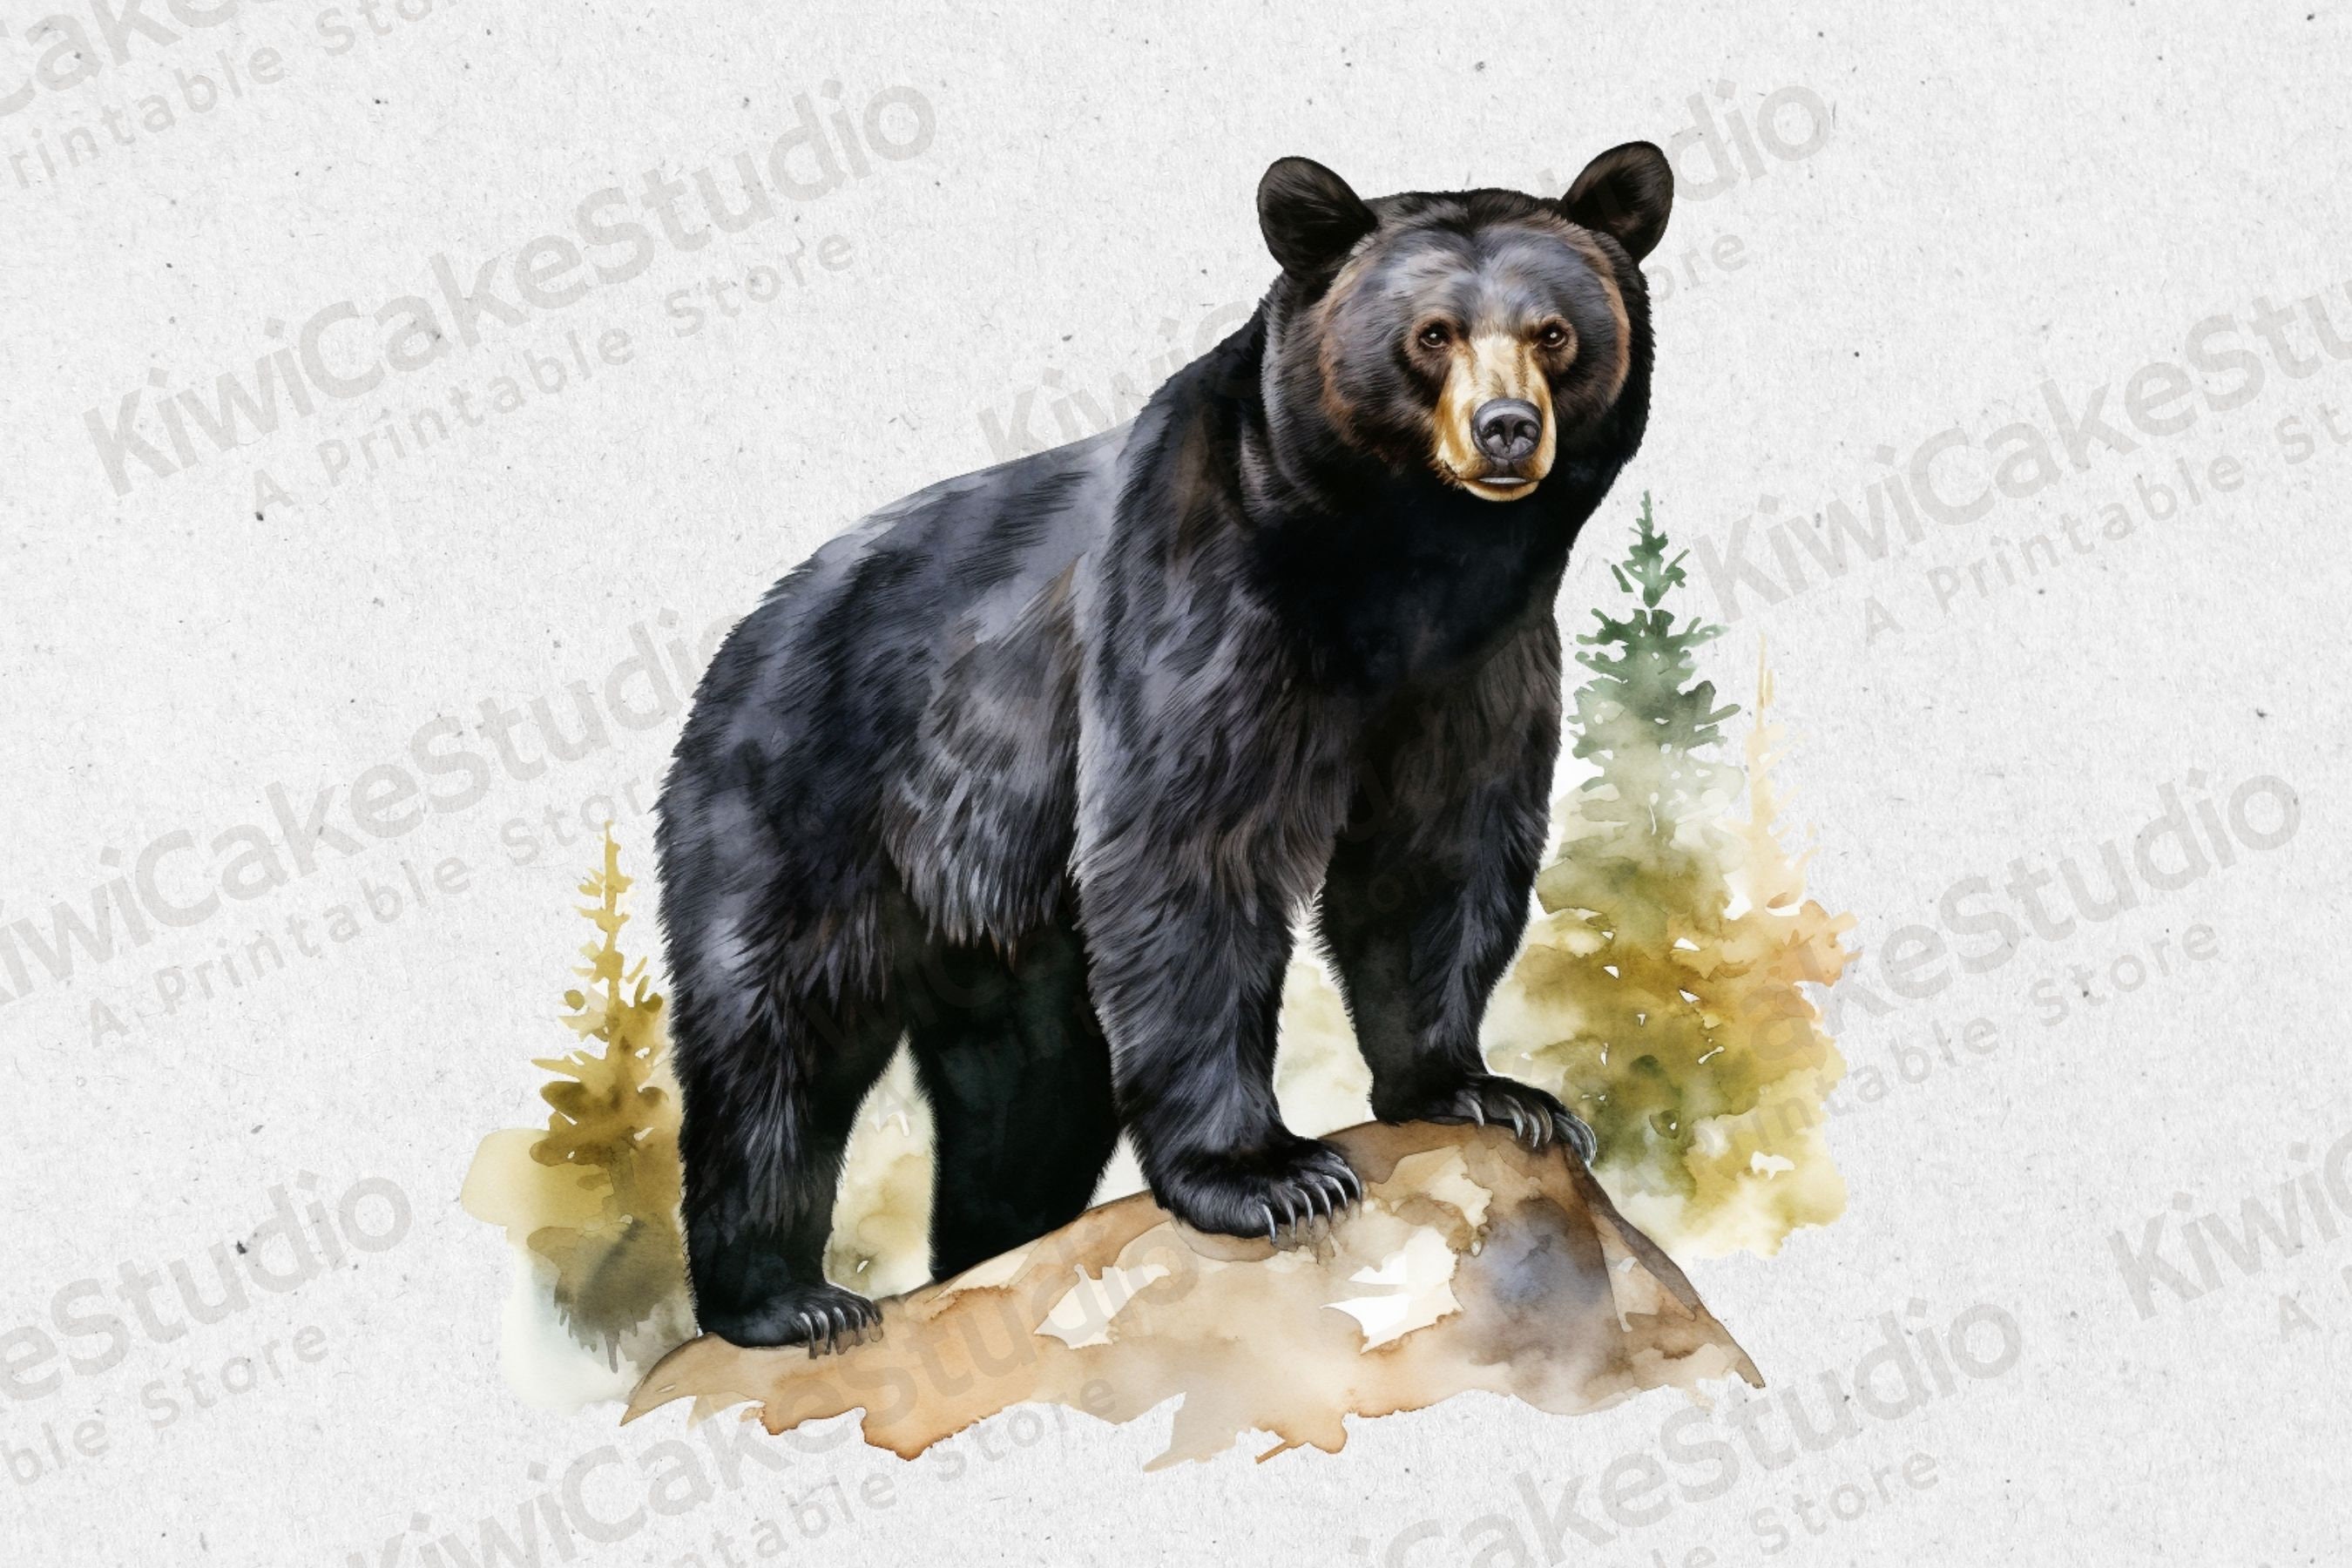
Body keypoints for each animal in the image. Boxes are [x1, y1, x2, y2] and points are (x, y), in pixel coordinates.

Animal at [655, 142, 1675, 1350]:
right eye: (1432, 333)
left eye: (1554, 331)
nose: (1507, 427)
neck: (1398, 566)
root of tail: (742, 639)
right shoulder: (1200, 598)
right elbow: (1189, 854)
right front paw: (1269, 1174)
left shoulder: (1476, 667)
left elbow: (1438, 853)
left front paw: (1482, 1091)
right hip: (806, 797)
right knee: (779, 1033)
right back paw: (786, 1299)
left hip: (1007, 934)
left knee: (1030, 1095)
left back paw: (988, 1254)